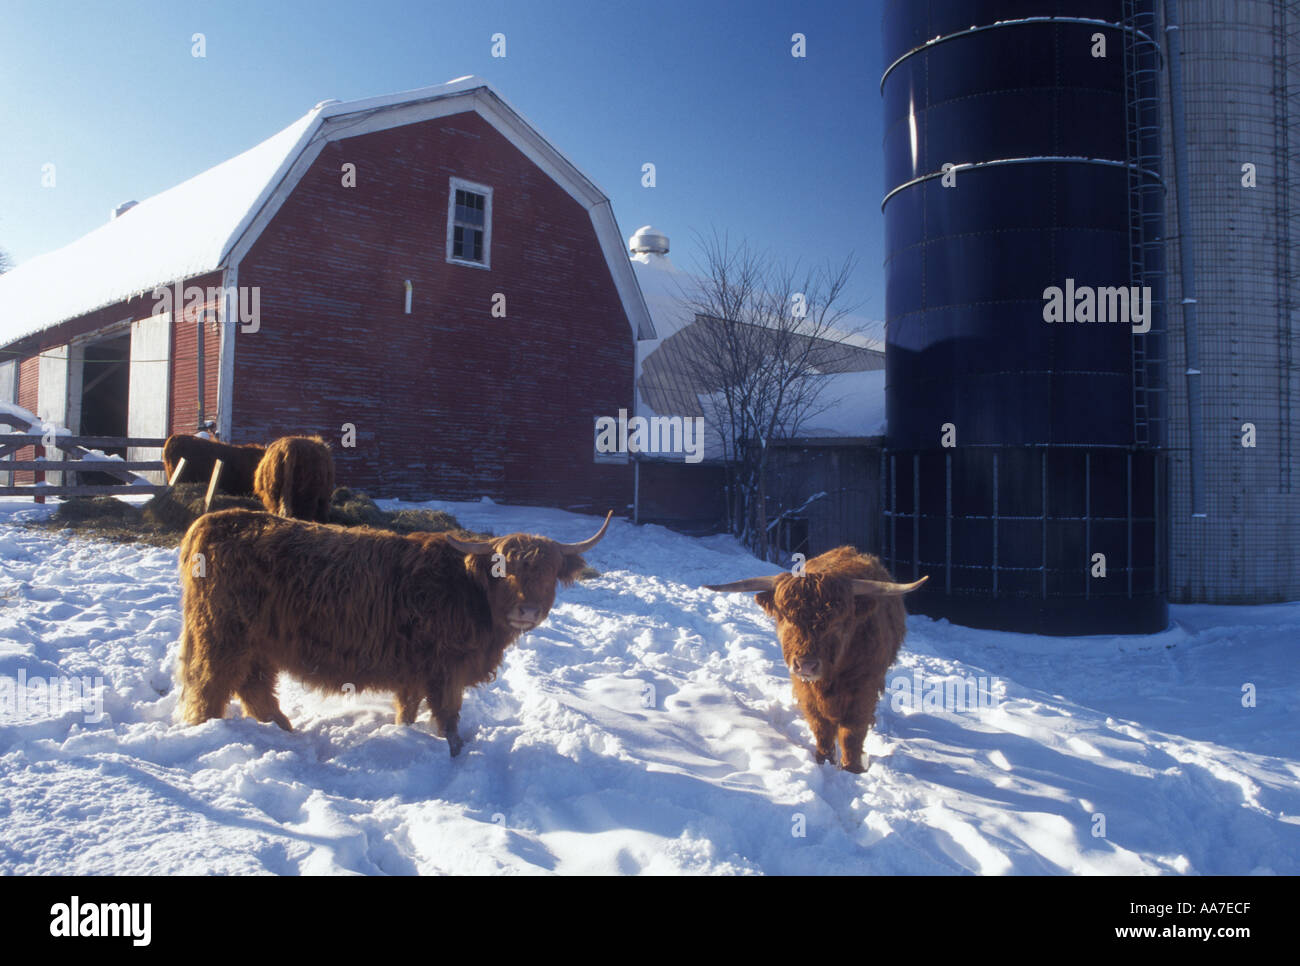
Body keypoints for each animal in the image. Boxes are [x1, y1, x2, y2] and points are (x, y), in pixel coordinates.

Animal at [176, 508, 612, 756]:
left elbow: (408, 709)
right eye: (502, 570)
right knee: (211, 686)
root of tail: (213, 520)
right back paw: (211, 732)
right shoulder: (446, 669)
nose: (527, 609)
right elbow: (448, 717)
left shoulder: (415, 671)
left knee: (254, 688)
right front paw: (455, 753)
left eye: (548, 572)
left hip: (257, 644)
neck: (468, 592)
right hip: (222, 635)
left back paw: (285, 733)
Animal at [705, 546, 927, 773]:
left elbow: (852, 732)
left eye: (837, 622)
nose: (806, 665)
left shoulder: (864, 688)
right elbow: (821, 726)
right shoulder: (805, 689)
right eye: (786, 618)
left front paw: (852, 768)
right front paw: (824, 760)